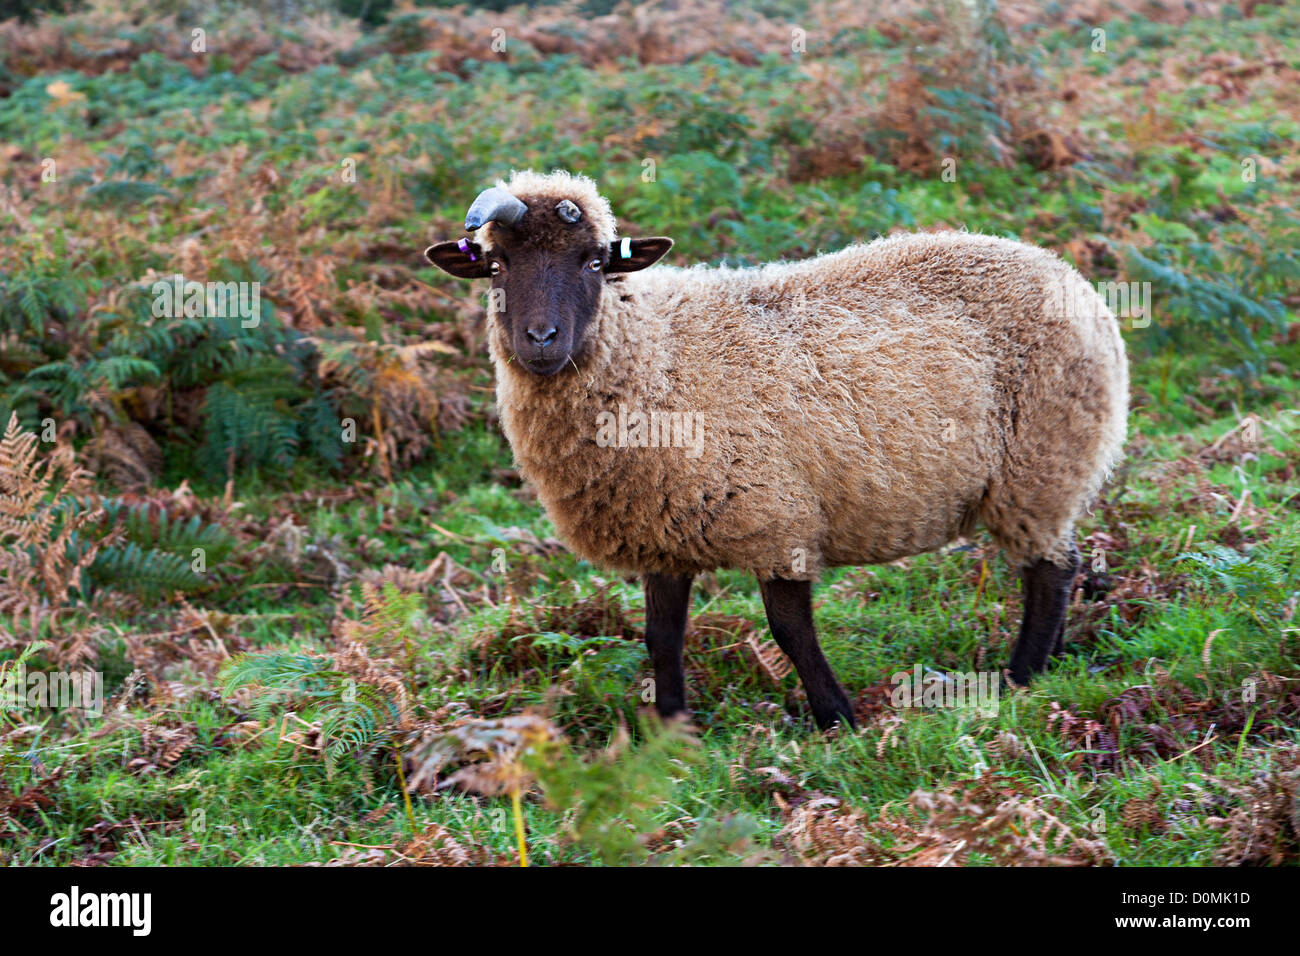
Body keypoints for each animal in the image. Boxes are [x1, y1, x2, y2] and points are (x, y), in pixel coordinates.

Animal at [424, 169, 1129, 729]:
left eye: (594, 262)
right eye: (496, 267)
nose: (541, 340)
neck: (659, 356)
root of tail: (1067, 274)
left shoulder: (776, 521)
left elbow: (790, 632)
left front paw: (837, 719)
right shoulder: (661, 532)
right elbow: (661, 636)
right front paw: (673, 731)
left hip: (1040, 467)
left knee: (1051, 572)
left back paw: (1021, 679)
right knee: (1058, 567)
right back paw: (1050, 666)